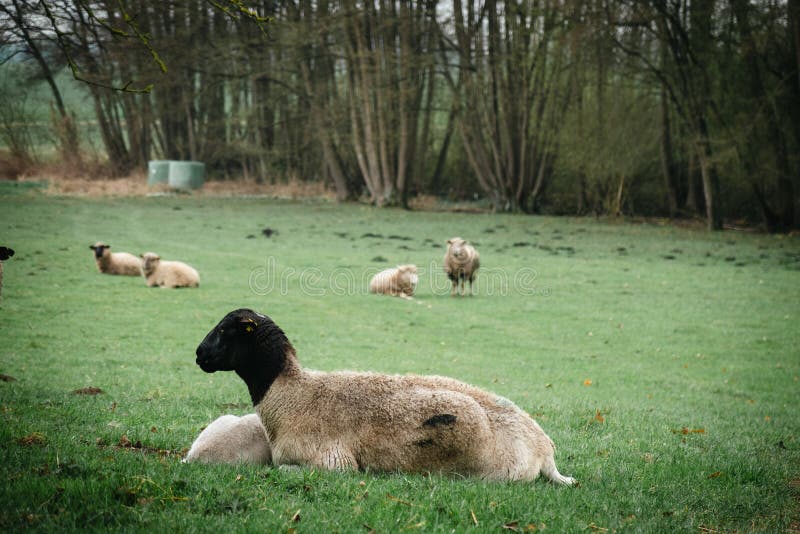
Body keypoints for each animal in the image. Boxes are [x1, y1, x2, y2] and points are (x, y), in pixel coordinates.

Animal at [194, 308, 575, 485]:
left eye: (226, 329)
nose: (198, 355)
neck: (292, 392)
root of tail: (543, 448)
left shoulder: (332, 464)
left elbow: (284, 469)